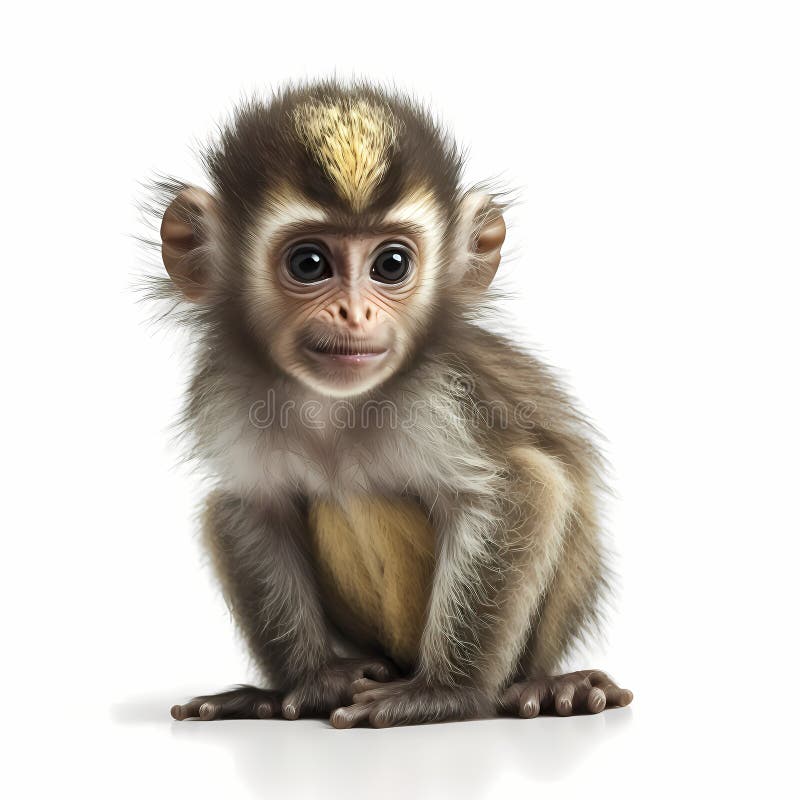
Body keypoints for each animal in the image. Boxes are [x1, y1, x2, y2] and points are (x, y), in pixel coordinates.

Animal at [153, 80, 633, 728]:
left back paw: (556, 684)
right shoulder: (226, 394)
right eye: (309, 263)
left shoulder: (441, 397)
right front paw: (312, 683)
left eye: (391, 264)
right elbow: (248, 505)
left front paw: (444, 693)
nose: (354, 313)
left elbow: (523, 486)